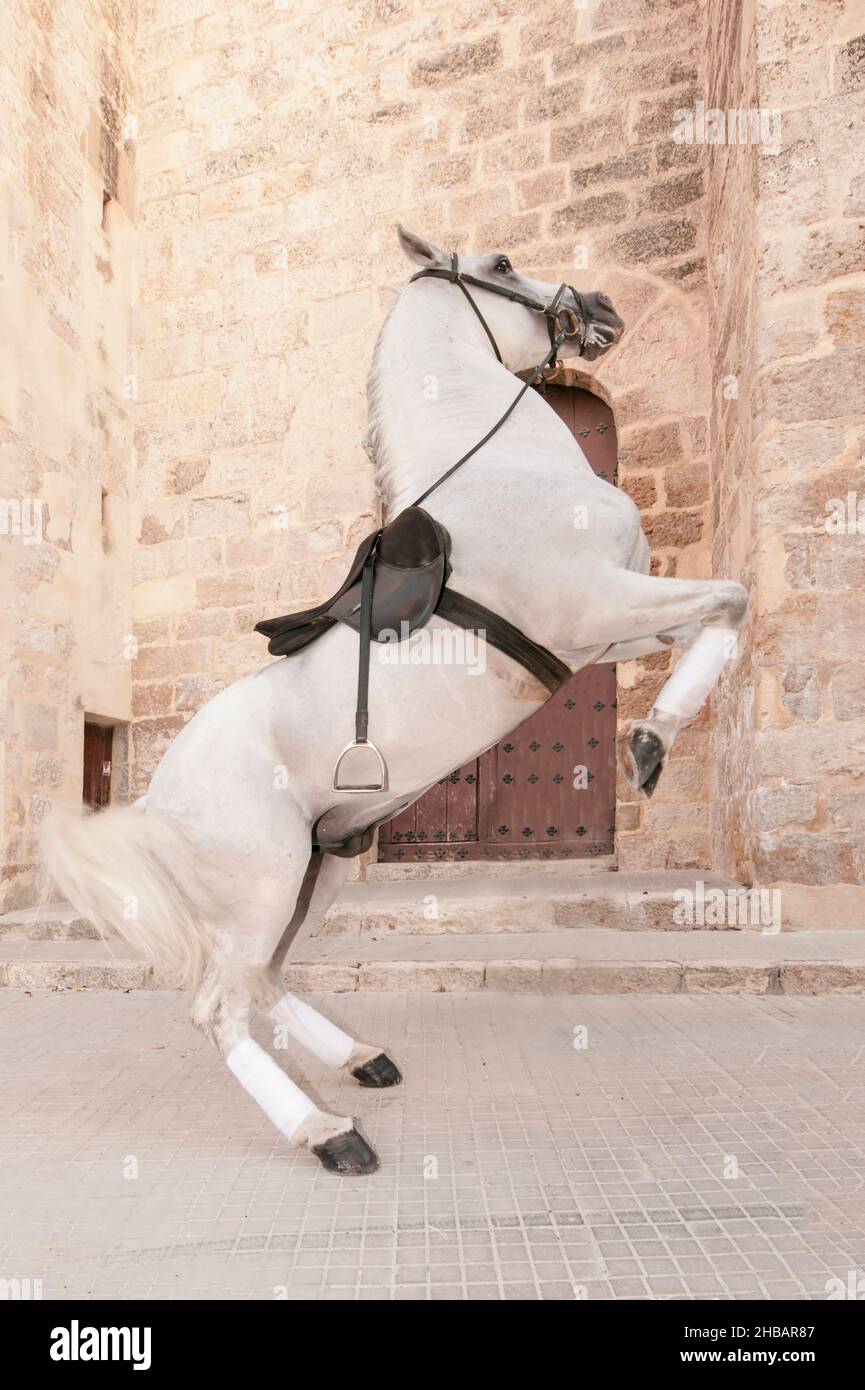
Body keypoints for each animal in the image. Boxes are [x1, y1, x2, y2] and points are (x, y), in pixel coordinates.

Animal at [42, 225, 748, 1176]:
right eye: (499, 264)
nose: (600, 307)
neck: (502, 473)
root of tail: (156, 800)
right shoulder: (597, 606)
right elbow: (734, 598)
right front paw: (649, 744)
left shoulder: (607, 635)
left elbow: (725, 615)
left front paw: (651, 739)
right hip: (264, 884)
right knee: (220, 1006)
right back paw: (325, 1133)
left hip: (321, 869)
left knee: (264, 979)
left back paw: (359, 1059)